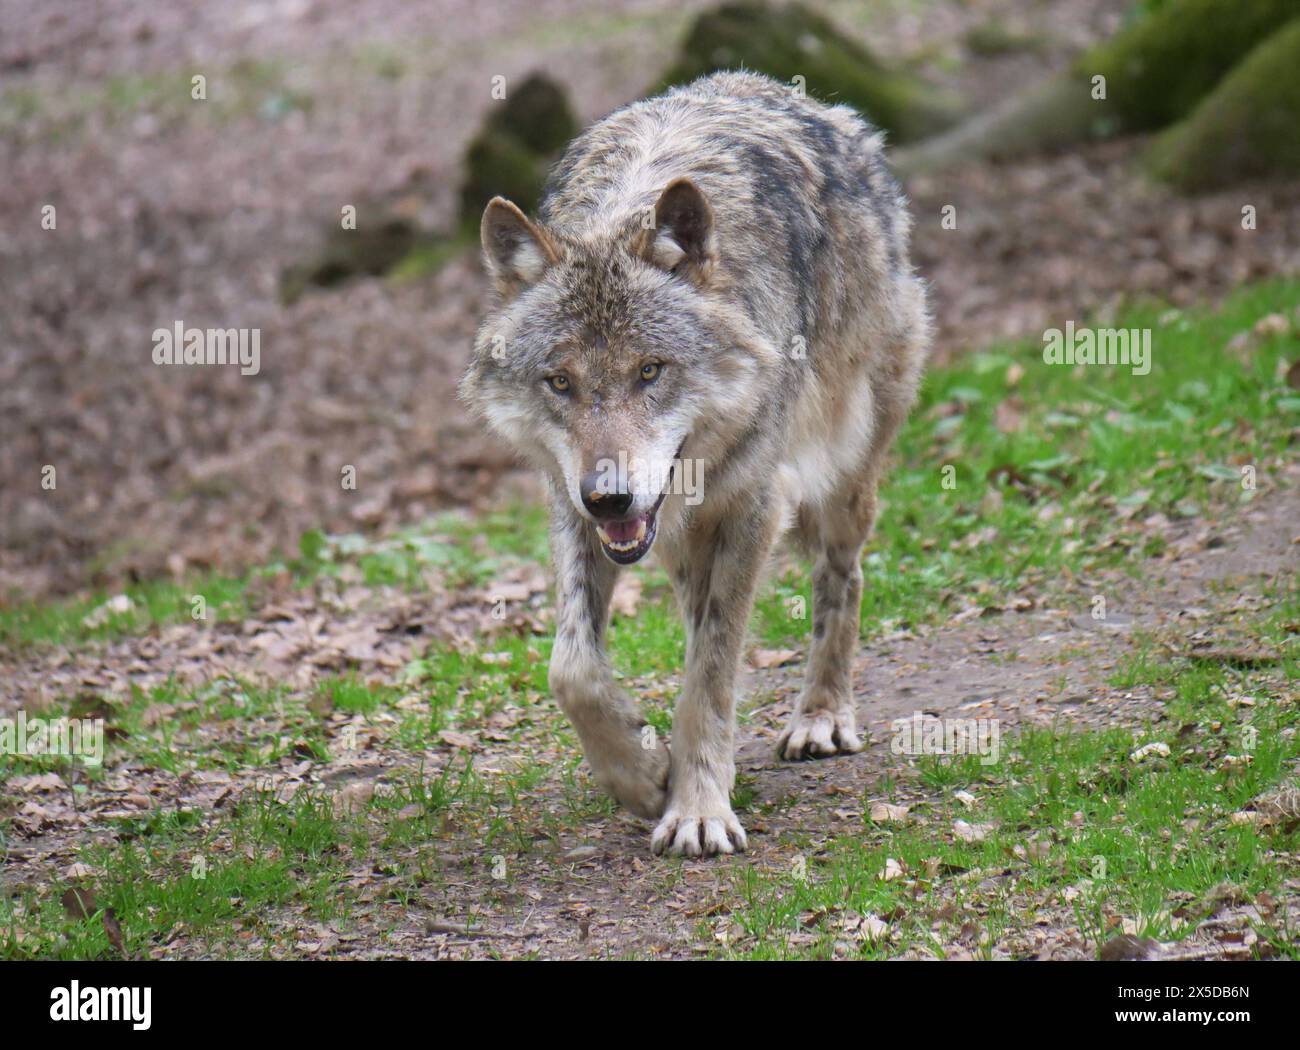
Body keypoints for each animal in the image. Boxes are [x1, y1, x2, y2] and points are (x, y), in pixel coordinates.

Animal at [461, 71, 929, 856]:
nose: (611, 498)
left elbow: (709, 675)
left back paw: (821, 714)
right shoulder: (569, 504)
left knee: (842, 578)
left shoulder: (756, 505)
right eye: (560, 383)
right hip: (680, 534)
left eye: (651, 370)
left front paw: (698, 806)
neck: (625, 203)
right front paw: (640, 773)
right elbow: (573, 668)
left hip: (842, 471)